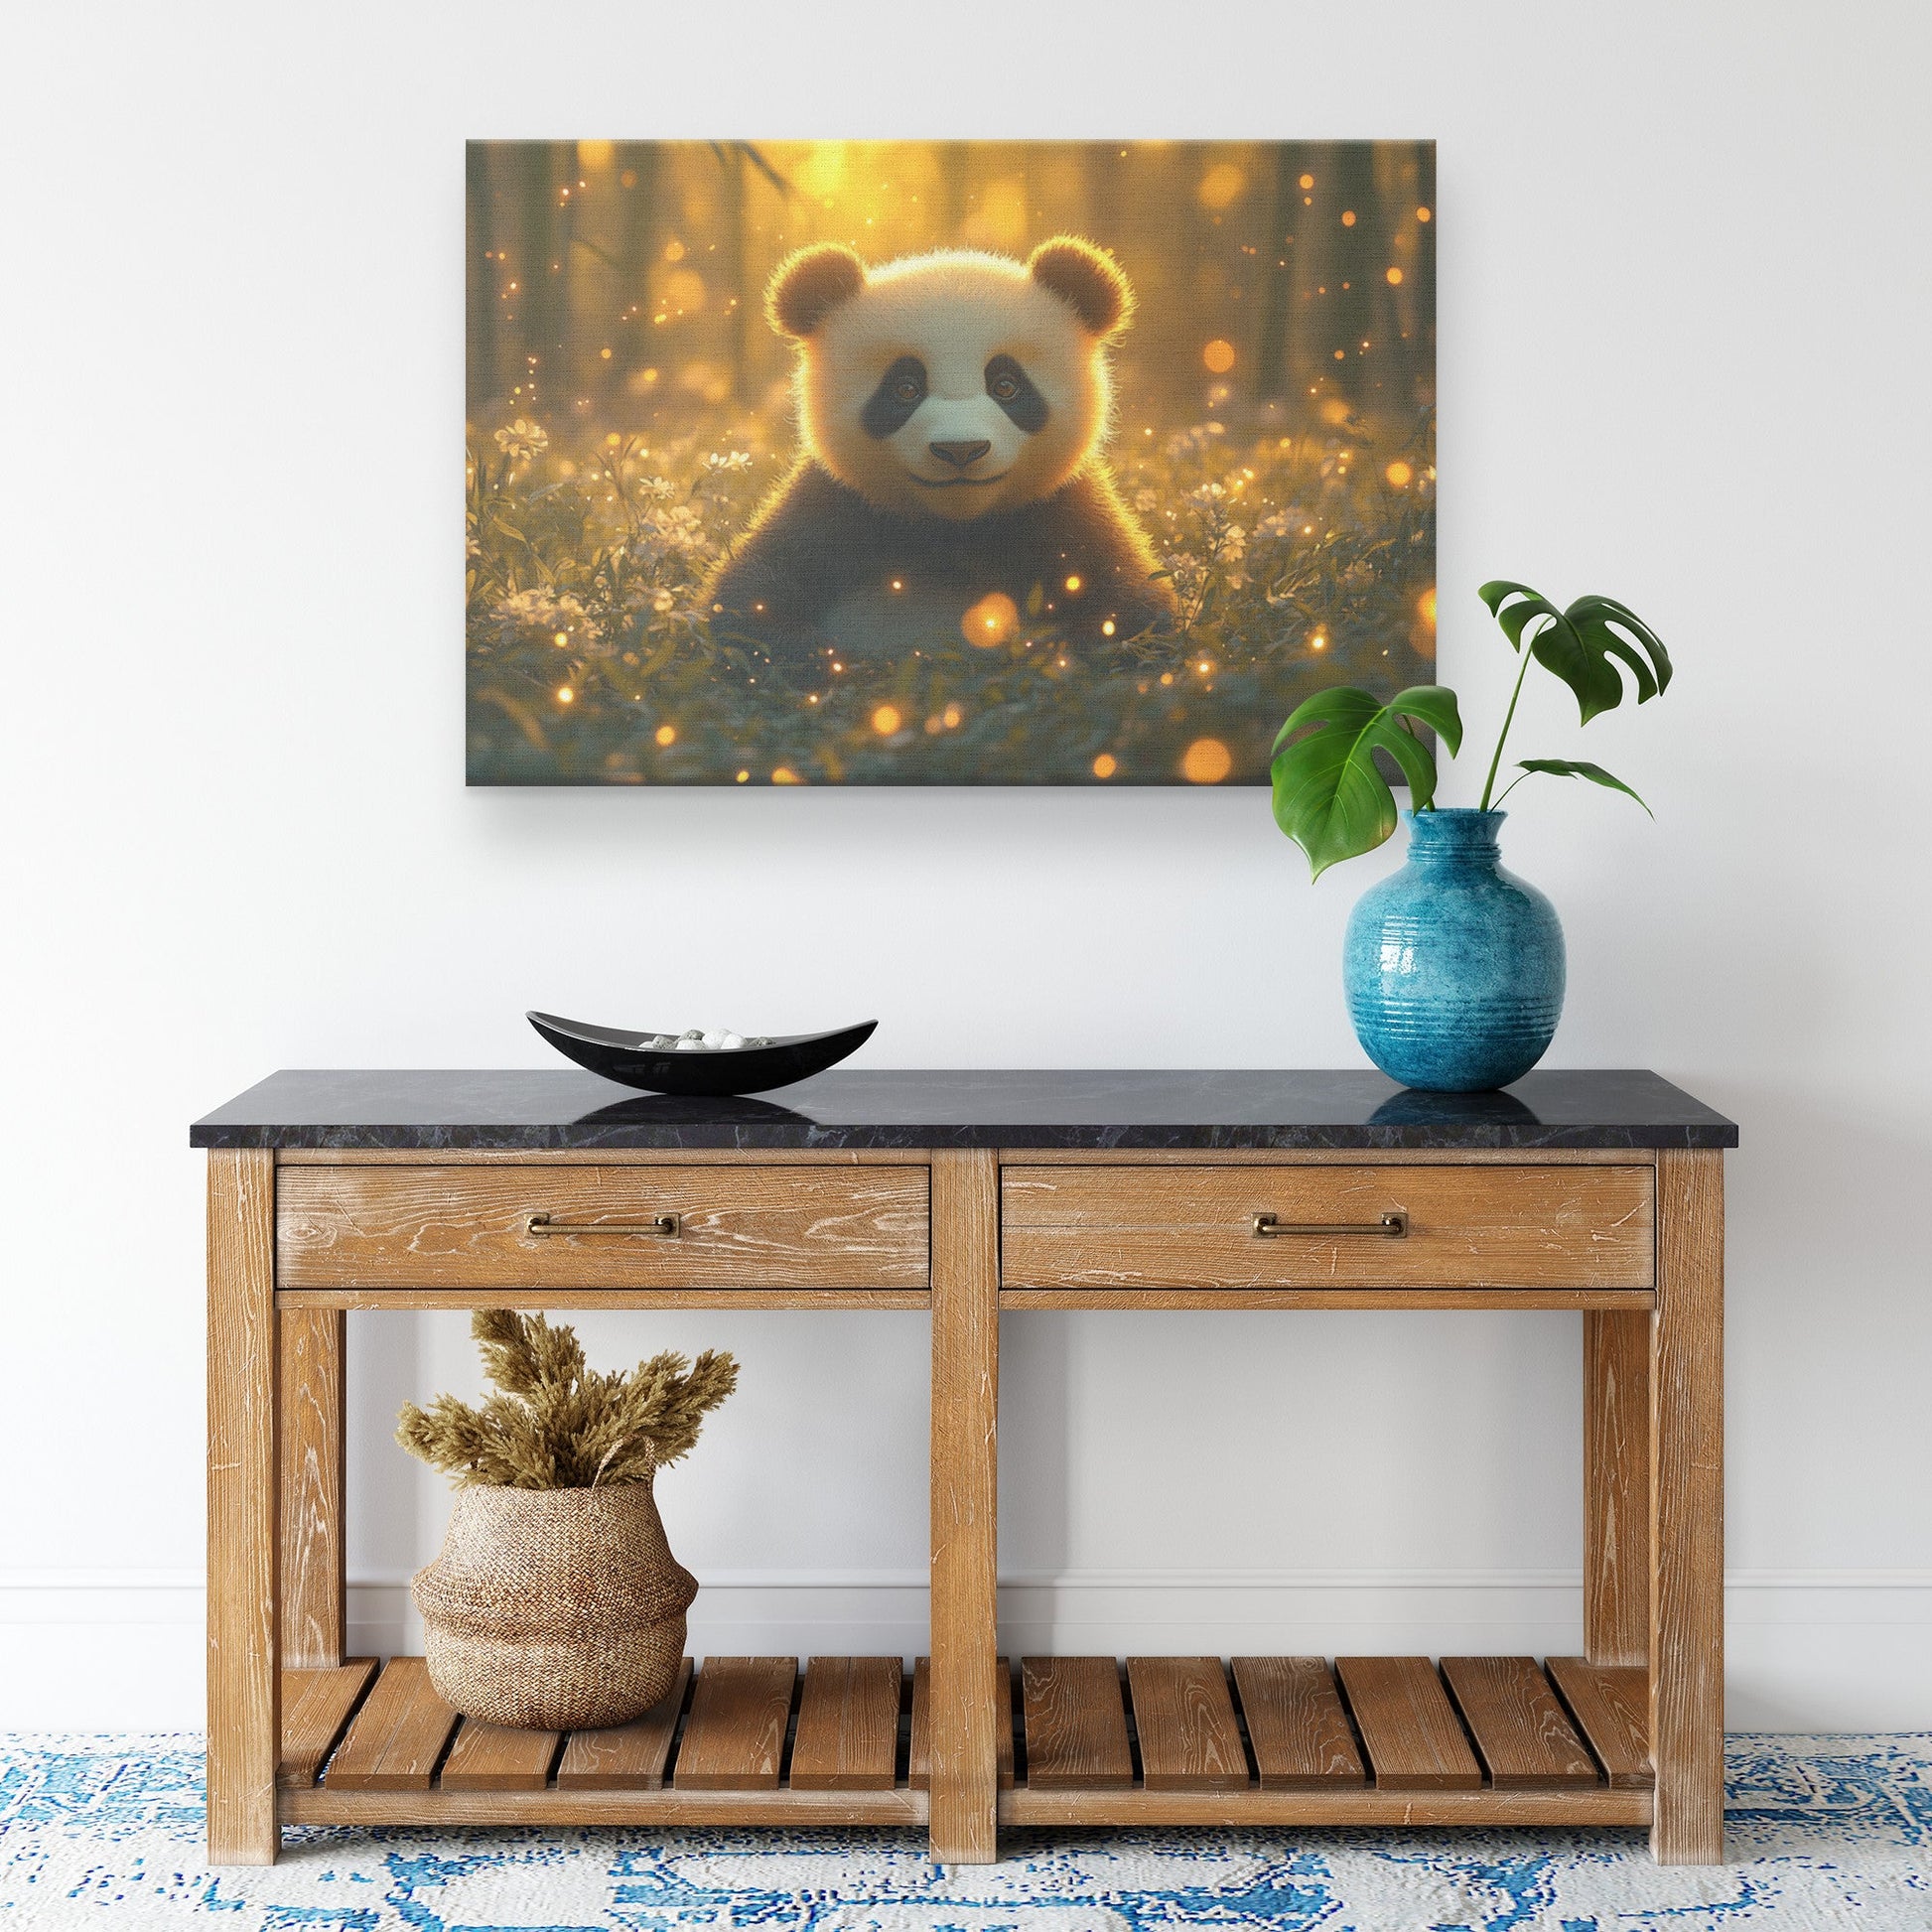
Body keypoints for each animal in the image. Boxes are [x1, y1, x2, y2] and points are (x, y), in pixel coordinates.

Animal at [706, 236, 1177, 658]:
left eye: (1006, 385)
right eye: (905, 388)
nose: (961, 449)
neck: (954, 528)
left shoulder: (1062, 509)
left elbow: (1133, 611)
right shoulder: (836, 507)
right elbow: (748, 605)